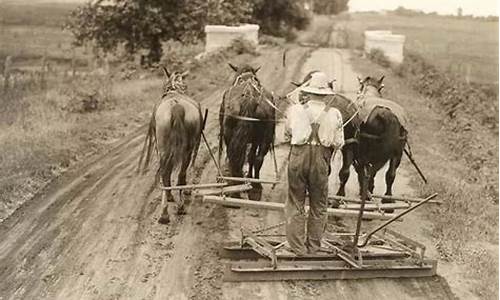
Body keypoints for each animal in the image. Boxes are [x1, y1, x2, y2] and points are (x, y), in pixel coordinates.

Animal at [138, 67, 202, 224]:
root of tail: (176, 105)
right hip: (182, 150)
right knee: (179, 175)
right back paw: (177, 207)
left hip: (169, 149)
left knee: (168, 173)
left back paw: (167, 212)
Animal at [220, 62, 278, 199]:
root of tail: (249, 96)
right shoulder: (256, 139)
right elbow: (251, 157)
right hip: (264, 135)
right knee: (257, 159)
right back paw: (255, 187)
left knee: (235, 159)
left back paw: (238, 188)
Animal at [336, 75, 406, 206]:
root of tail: (385, 113)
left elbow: (357, 171)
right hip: (398, 152)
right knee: (390, 174)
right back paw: (387, 200)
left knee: (351, 172)